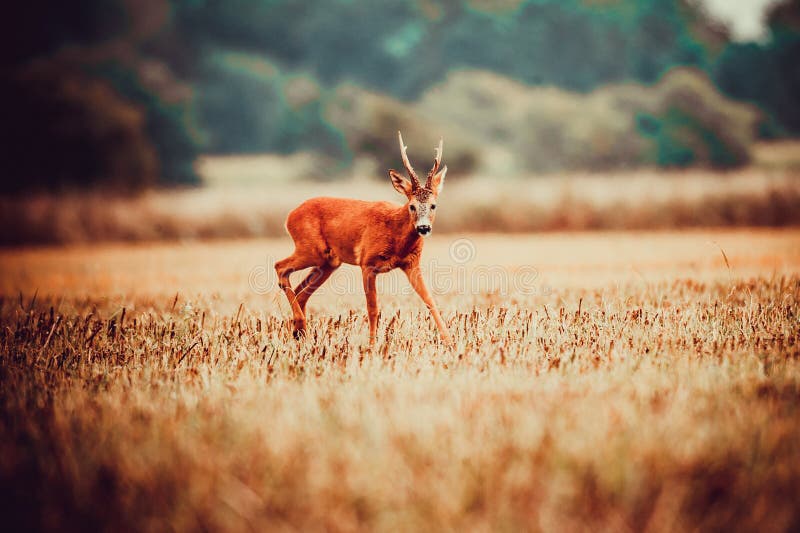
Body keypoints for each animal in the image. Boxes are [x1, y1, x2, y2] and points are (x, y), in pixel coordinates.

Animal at [275, 131, 452, 346]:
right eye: (412, 206)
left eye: (434, 205)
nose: (424, 227)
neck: (396, 234)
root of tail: (289, 217)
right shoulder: (367, 263)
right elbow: (373, 308)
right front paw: (372, 345)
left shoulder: (411, 263)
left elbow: (430, 300)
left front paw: (449, 341)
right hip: (310, 249)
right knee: (280, 267)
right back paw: (300, 327)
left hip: (329, 261)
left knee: (301, 291)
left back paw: (300, 333)